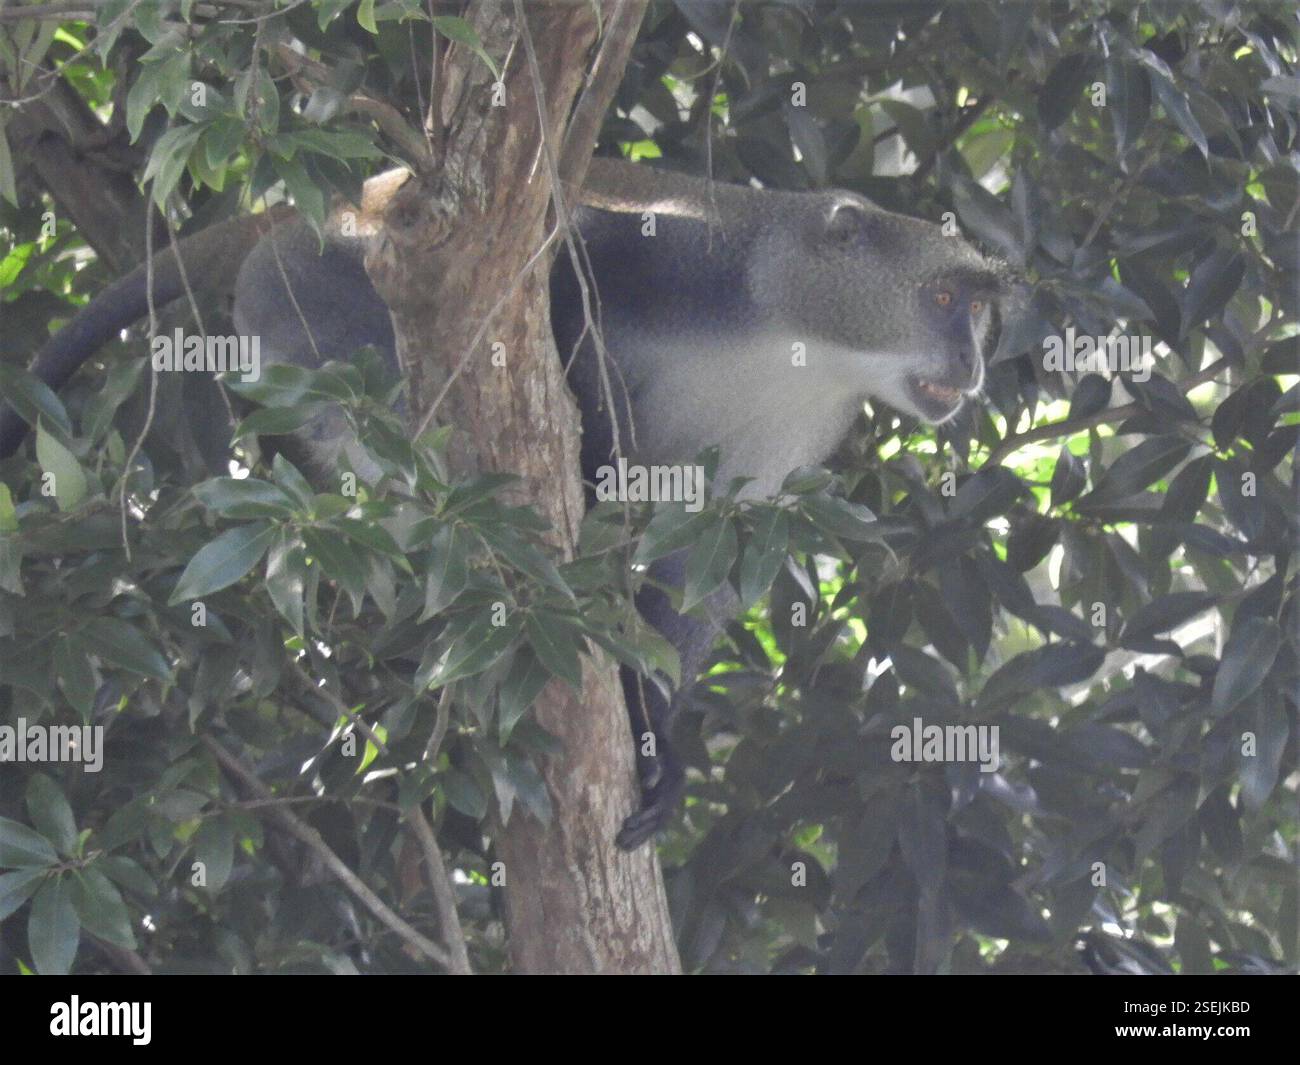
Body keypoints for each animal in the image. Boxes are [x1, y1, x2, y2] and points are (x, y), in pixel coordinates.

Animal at [0, 157, 1008, 848]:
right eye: (943, 296)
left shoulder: (795, 436)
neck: (799, 336)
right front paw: (594, 463)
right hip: (312, 295)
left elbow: (703, 559)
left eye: (979, 310)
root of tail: (308, 208)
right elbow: (552, 280)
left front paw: (656, 739)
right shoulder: (689, 262)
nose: (974, 363)